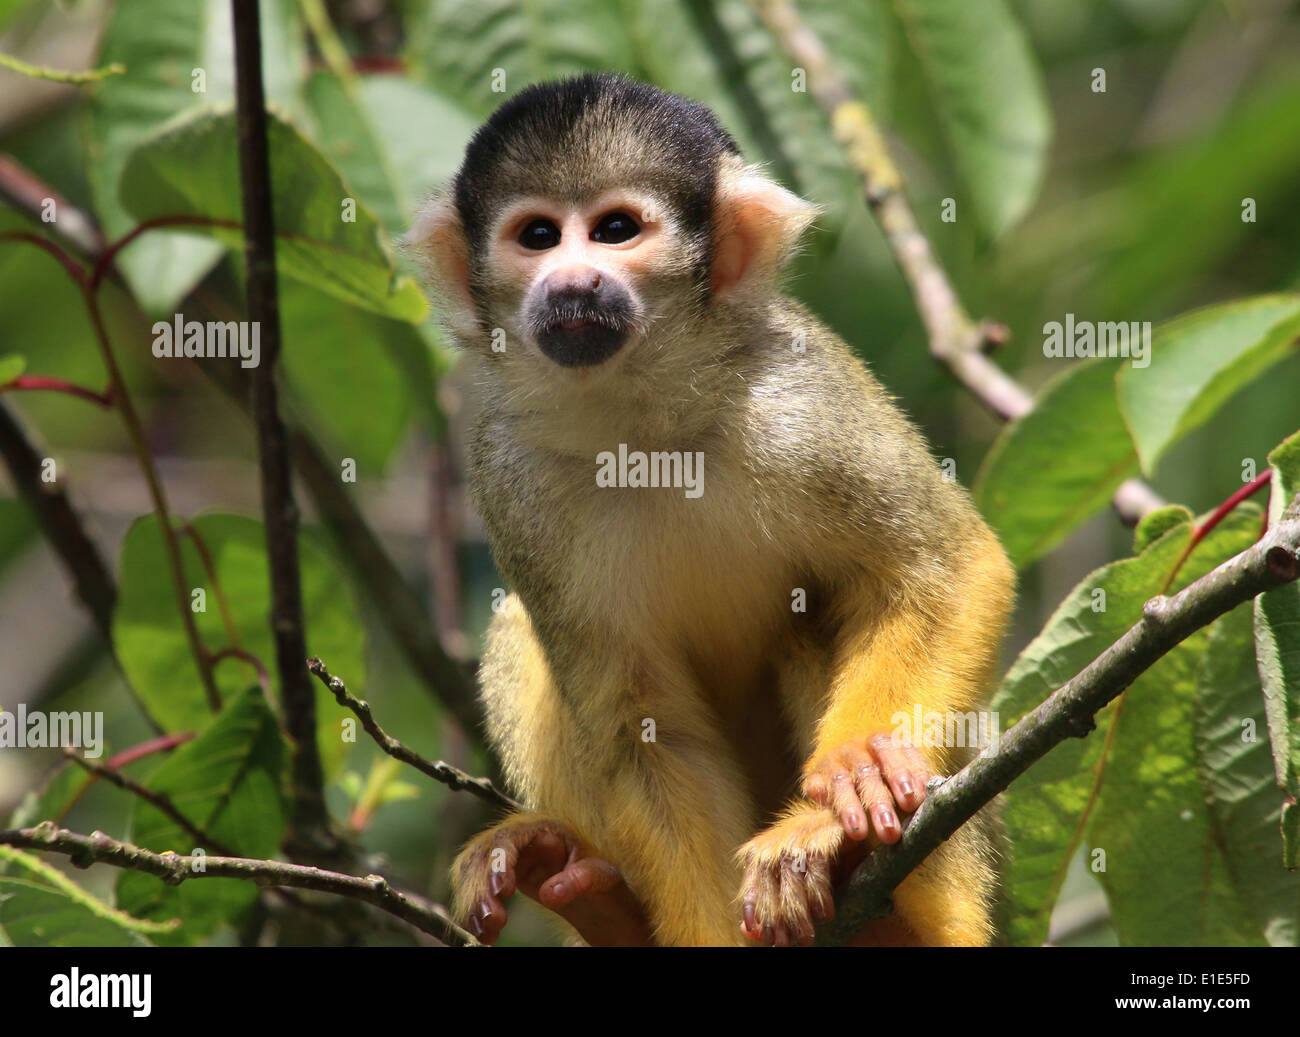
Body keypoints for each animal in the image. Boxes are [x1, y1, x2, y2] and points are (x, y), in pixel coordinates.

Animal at [409, 73, 1015, 947]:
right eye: (537, 236)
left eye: (616, 229)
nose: (572, 282)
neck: (645, 426)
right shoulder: (506, 471)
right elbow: (649, 730)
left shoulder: (799, 395)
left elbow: (945, 567)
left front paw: (856, 772)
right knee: (524, 628)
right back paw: (592, 897)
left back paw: (869, 876)